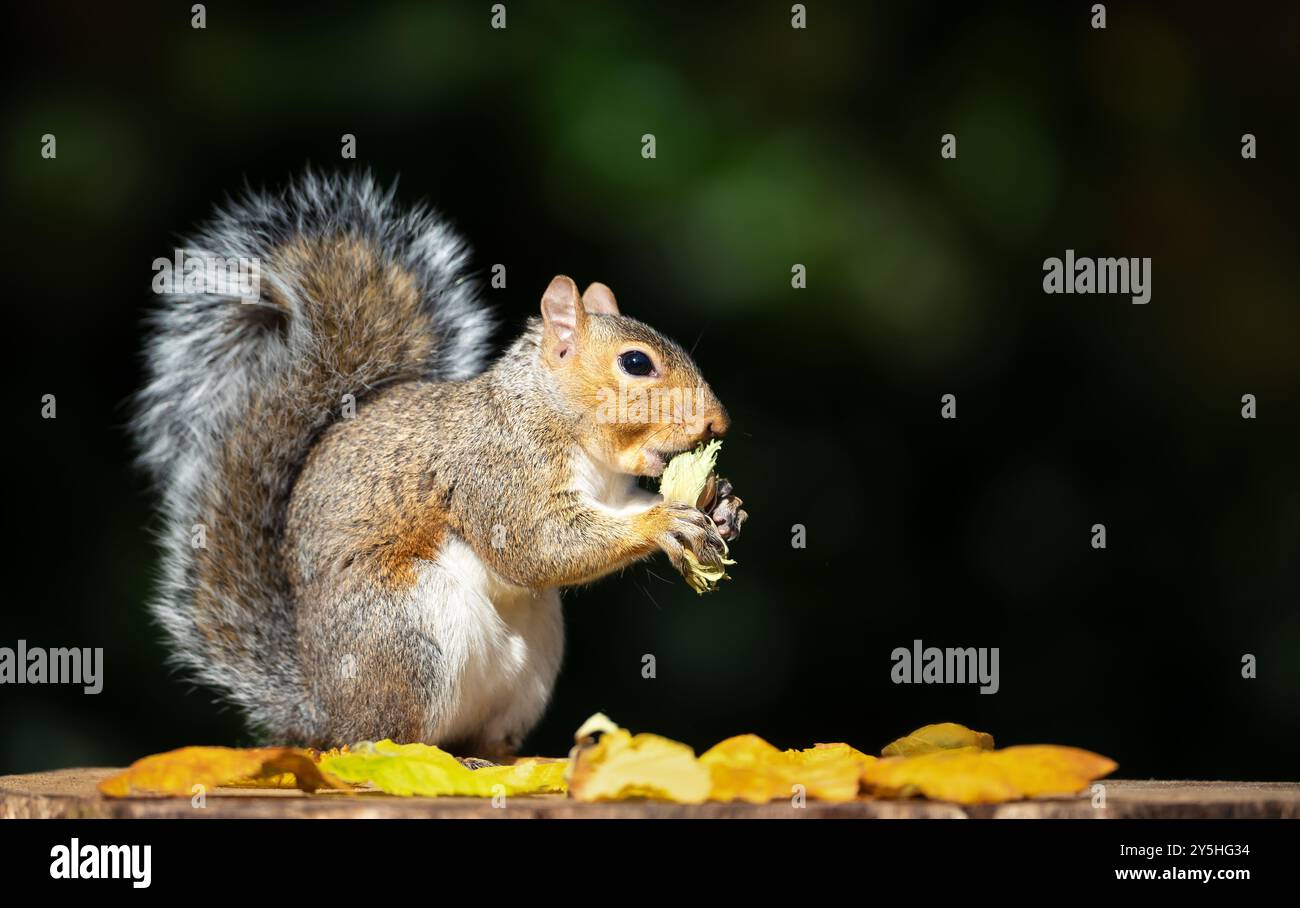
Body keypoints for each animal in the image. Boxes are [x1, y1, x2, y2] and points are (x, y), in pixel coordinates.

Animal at [133, 171, 742, 758]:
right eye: (636, 363)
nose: (719, 422)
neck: (559, 419)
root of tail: (318, 712)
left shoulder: (608, 489)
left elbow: (617, 509)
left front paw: (721, 506)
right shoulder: (496, 466)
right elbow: (539, 544)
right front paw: (663, 523)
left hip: (531, 661)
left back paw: (492, 756)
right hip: (408, 635)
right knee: (380, 738)